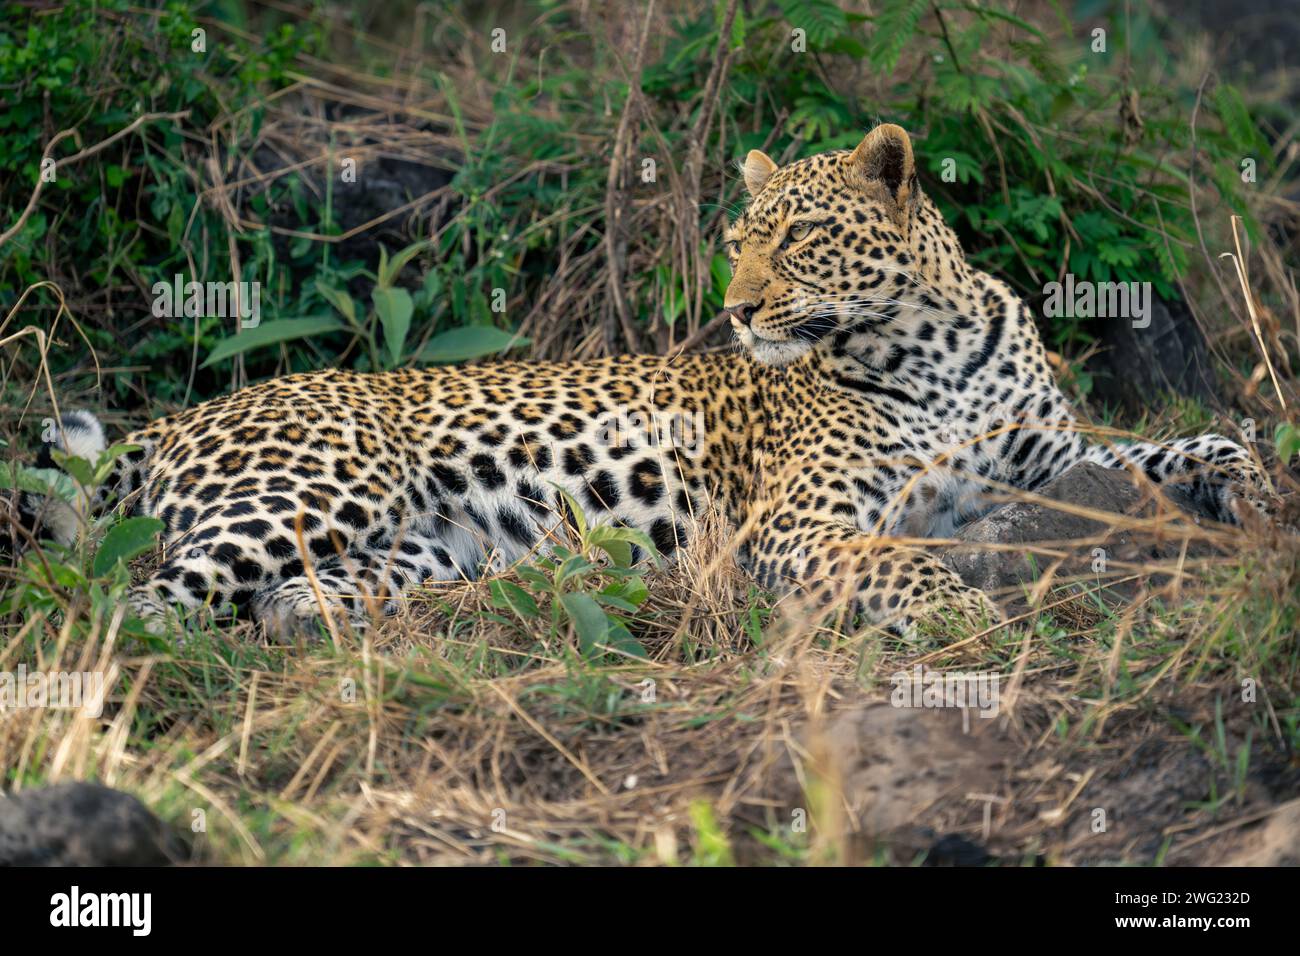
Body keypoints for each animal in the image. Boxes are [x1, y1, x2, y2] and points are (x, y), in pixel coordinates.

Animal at [14, 123, 1274, 640]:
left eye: (801, 236)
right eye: (738, 242)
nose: (738, 310)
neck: (932, 340)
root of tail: (194, 409)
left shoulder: (1052, 458)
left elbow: (1183, 443)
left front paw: (1254, 490)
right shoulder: (800, 521)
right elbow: (901, 552)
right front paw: (959, 607)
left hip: (418, 539)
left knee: (277, 596)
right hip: (318, 486)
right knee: (137, 600)